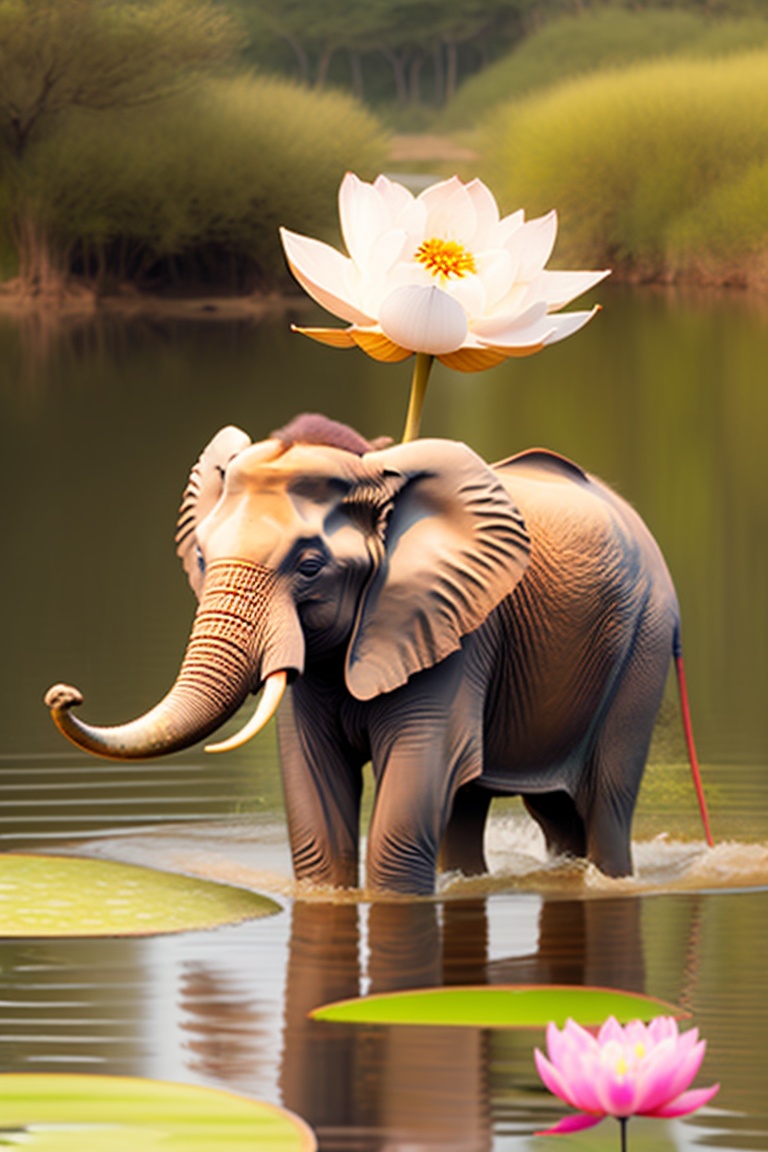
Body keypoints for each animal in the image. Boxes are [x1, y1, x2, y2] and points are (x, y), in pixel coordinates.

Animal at [46, 412, 700, 895]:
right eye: (202, 556)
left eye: (311, 567)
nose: (62, 694)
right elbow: (314, 793)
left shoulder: (453, 626)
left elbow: (409, 797)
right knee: (528, 807)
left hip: (642, 642)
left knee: (603, 804)